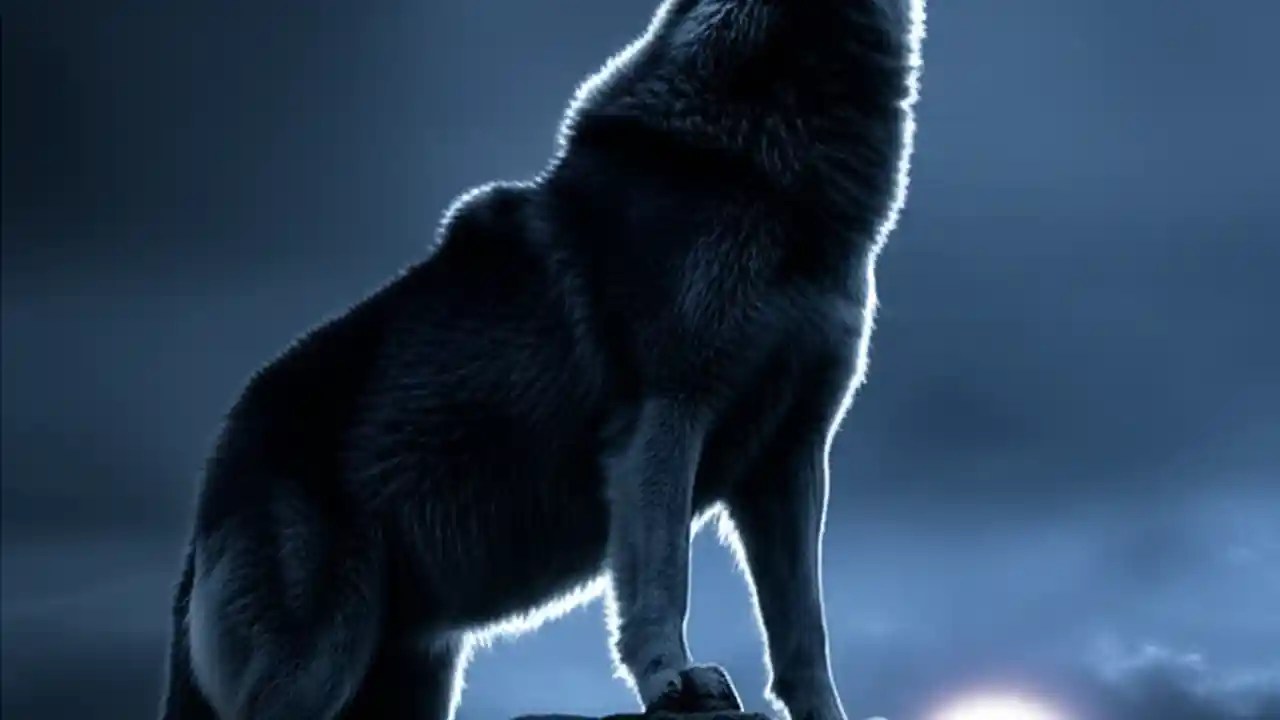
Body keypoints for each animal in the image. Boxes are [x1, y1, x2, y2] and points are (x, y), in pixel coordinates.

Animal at [159, 1, 925, 718]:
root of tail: (208, 485)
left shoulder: (791, 456)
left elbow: (805, 630)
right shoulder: (665, 415)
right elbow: (663, 581)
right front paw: (673, 680)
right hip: (321, 667)